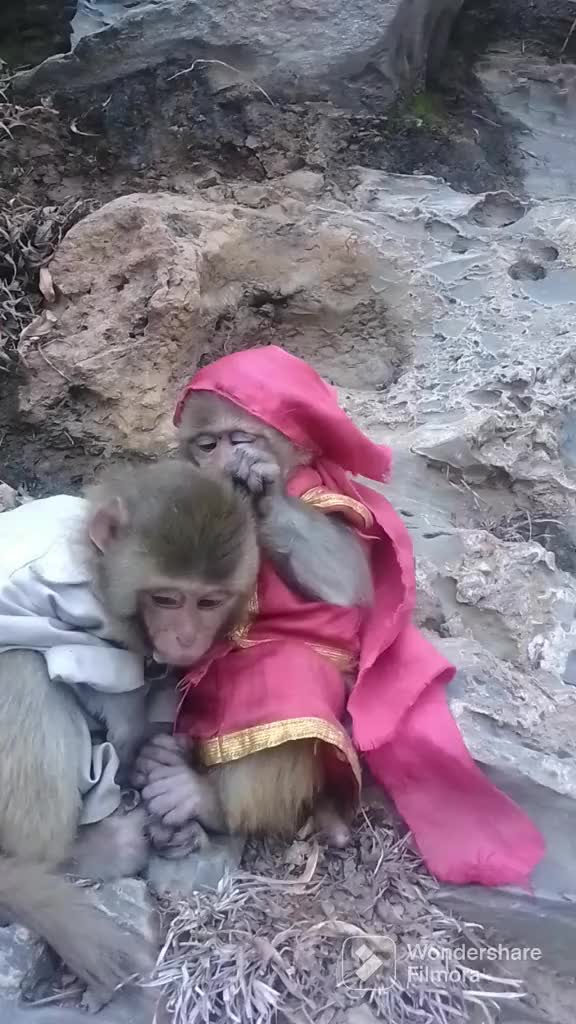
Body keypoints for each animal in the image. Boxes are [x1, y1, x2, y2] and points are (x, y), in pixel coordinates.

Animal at [0, 459, 259, 995]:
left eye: (208, 603)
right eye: (166, 598)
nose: (186, 637)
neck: (94, 565)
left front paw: (168, 765)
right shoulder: (83, 607)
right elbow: (99, 668)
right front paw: (138, 759)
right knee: (22, 664)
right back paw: (81, 853)